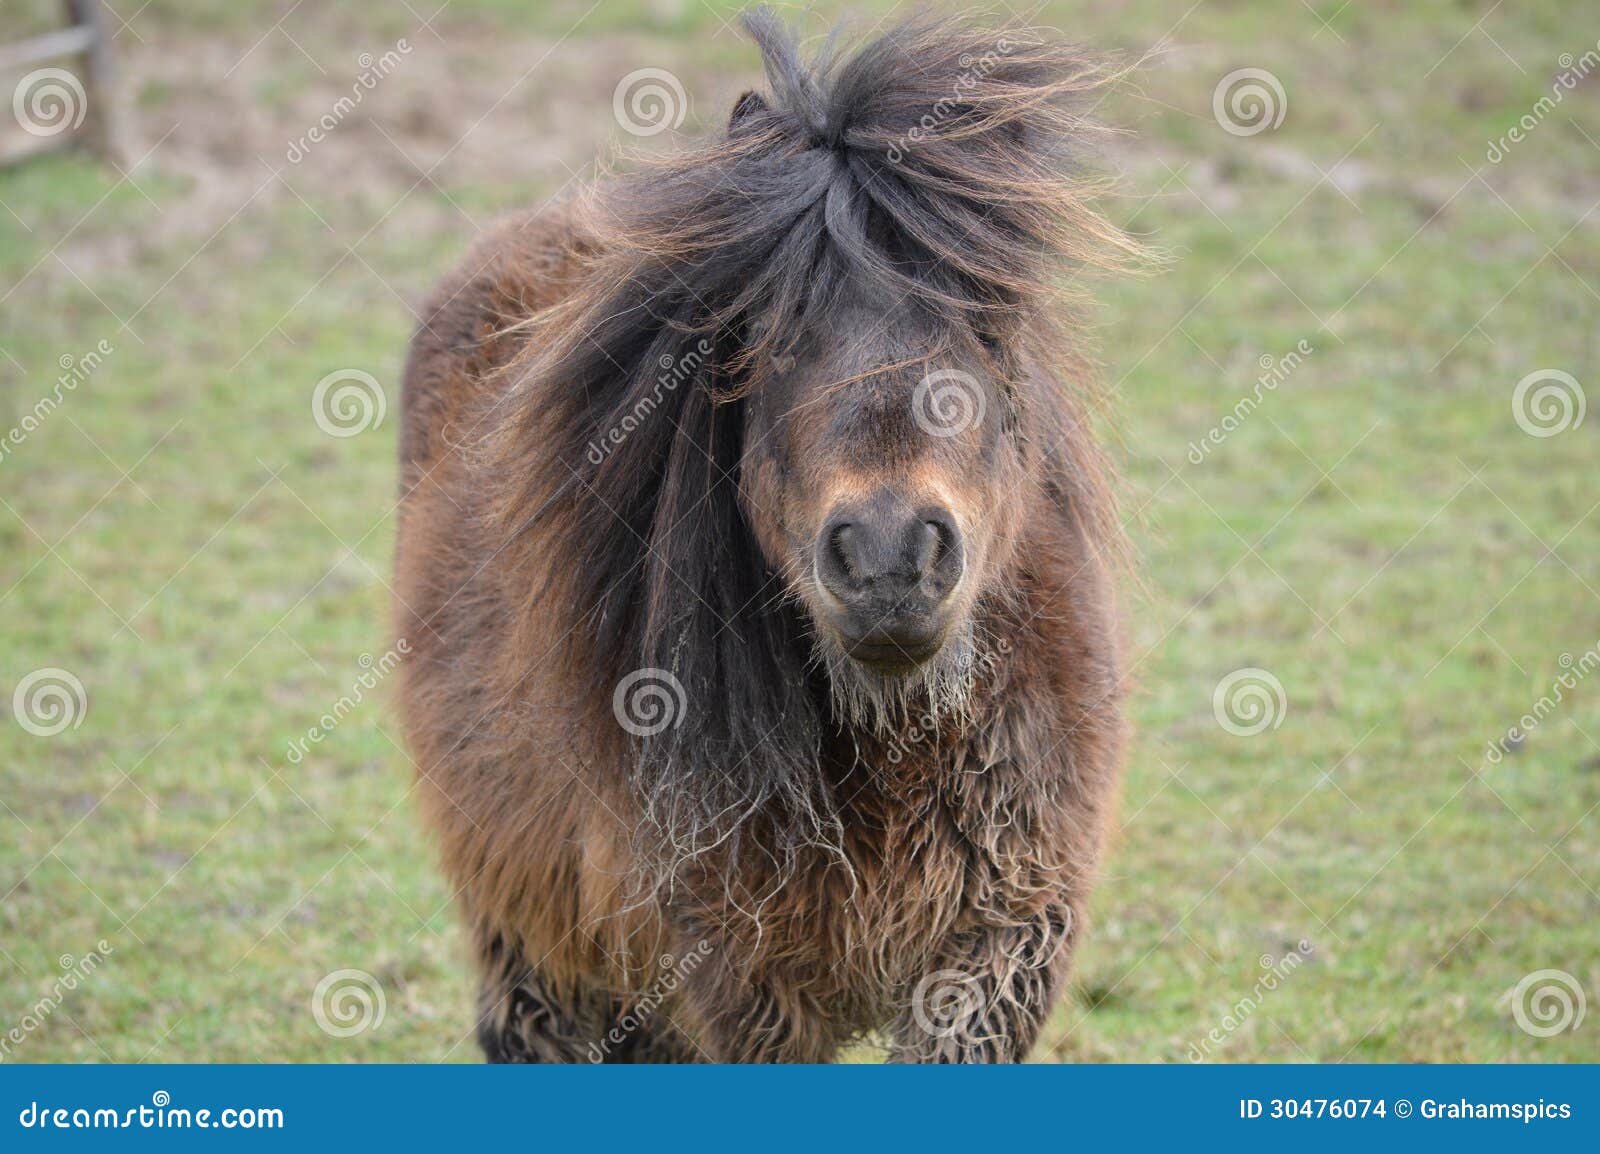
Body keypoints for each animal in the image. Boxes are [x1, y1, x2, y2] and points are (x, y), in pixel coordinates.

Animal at [393, 8, 1140, 1063]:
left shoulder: (1004, 941)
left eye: (989, 327)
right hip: (542, 937)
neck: (892, 747)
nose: (889, 559)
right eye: (769, 334)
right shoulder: (736, 979)